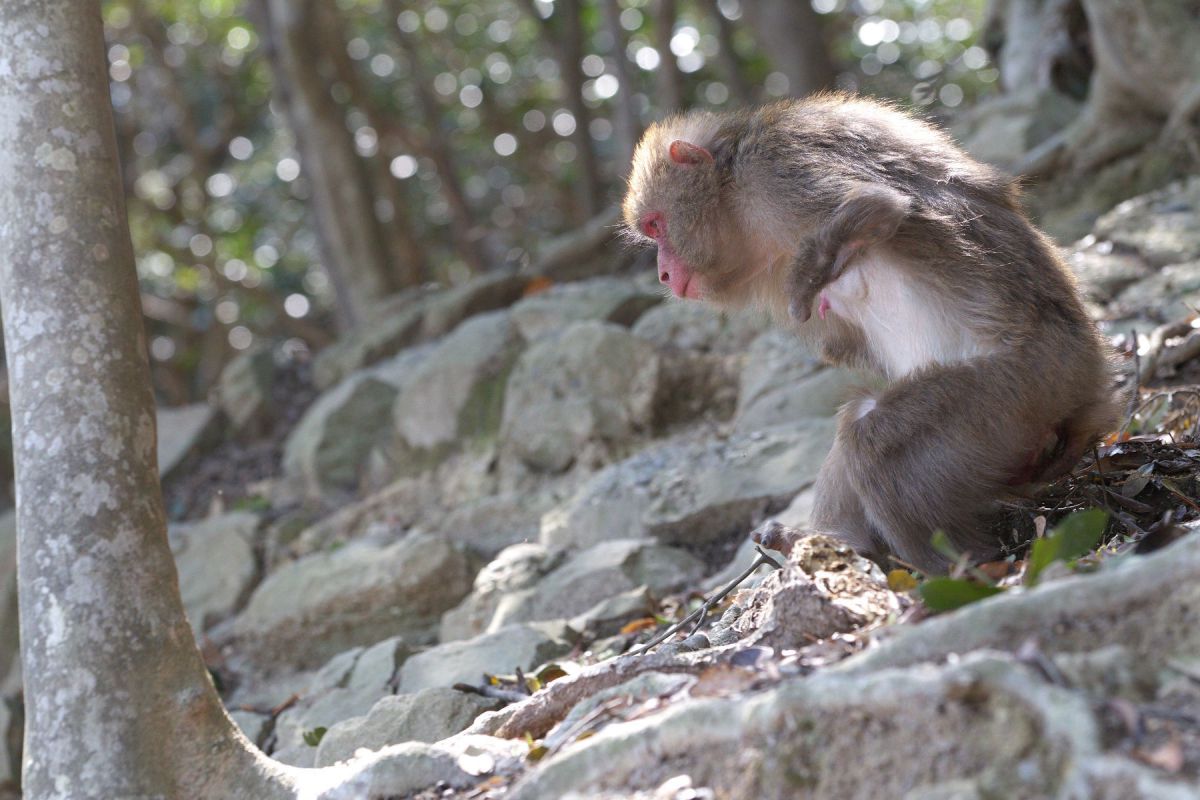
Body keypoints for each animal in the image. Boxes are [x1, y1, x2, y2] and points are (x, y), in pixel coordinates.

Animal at [622, 93, 1119, 574]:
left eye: (656, 225)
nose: (663, 273)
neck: (731, 186)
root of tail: (1093, 387)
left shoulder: (773, 172)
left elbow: (877, 205)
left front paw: (806, 282)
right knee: (860, 416)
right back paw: (837, 545)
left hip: (1023, 394)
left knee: (873, 444)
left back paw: (955, 567)